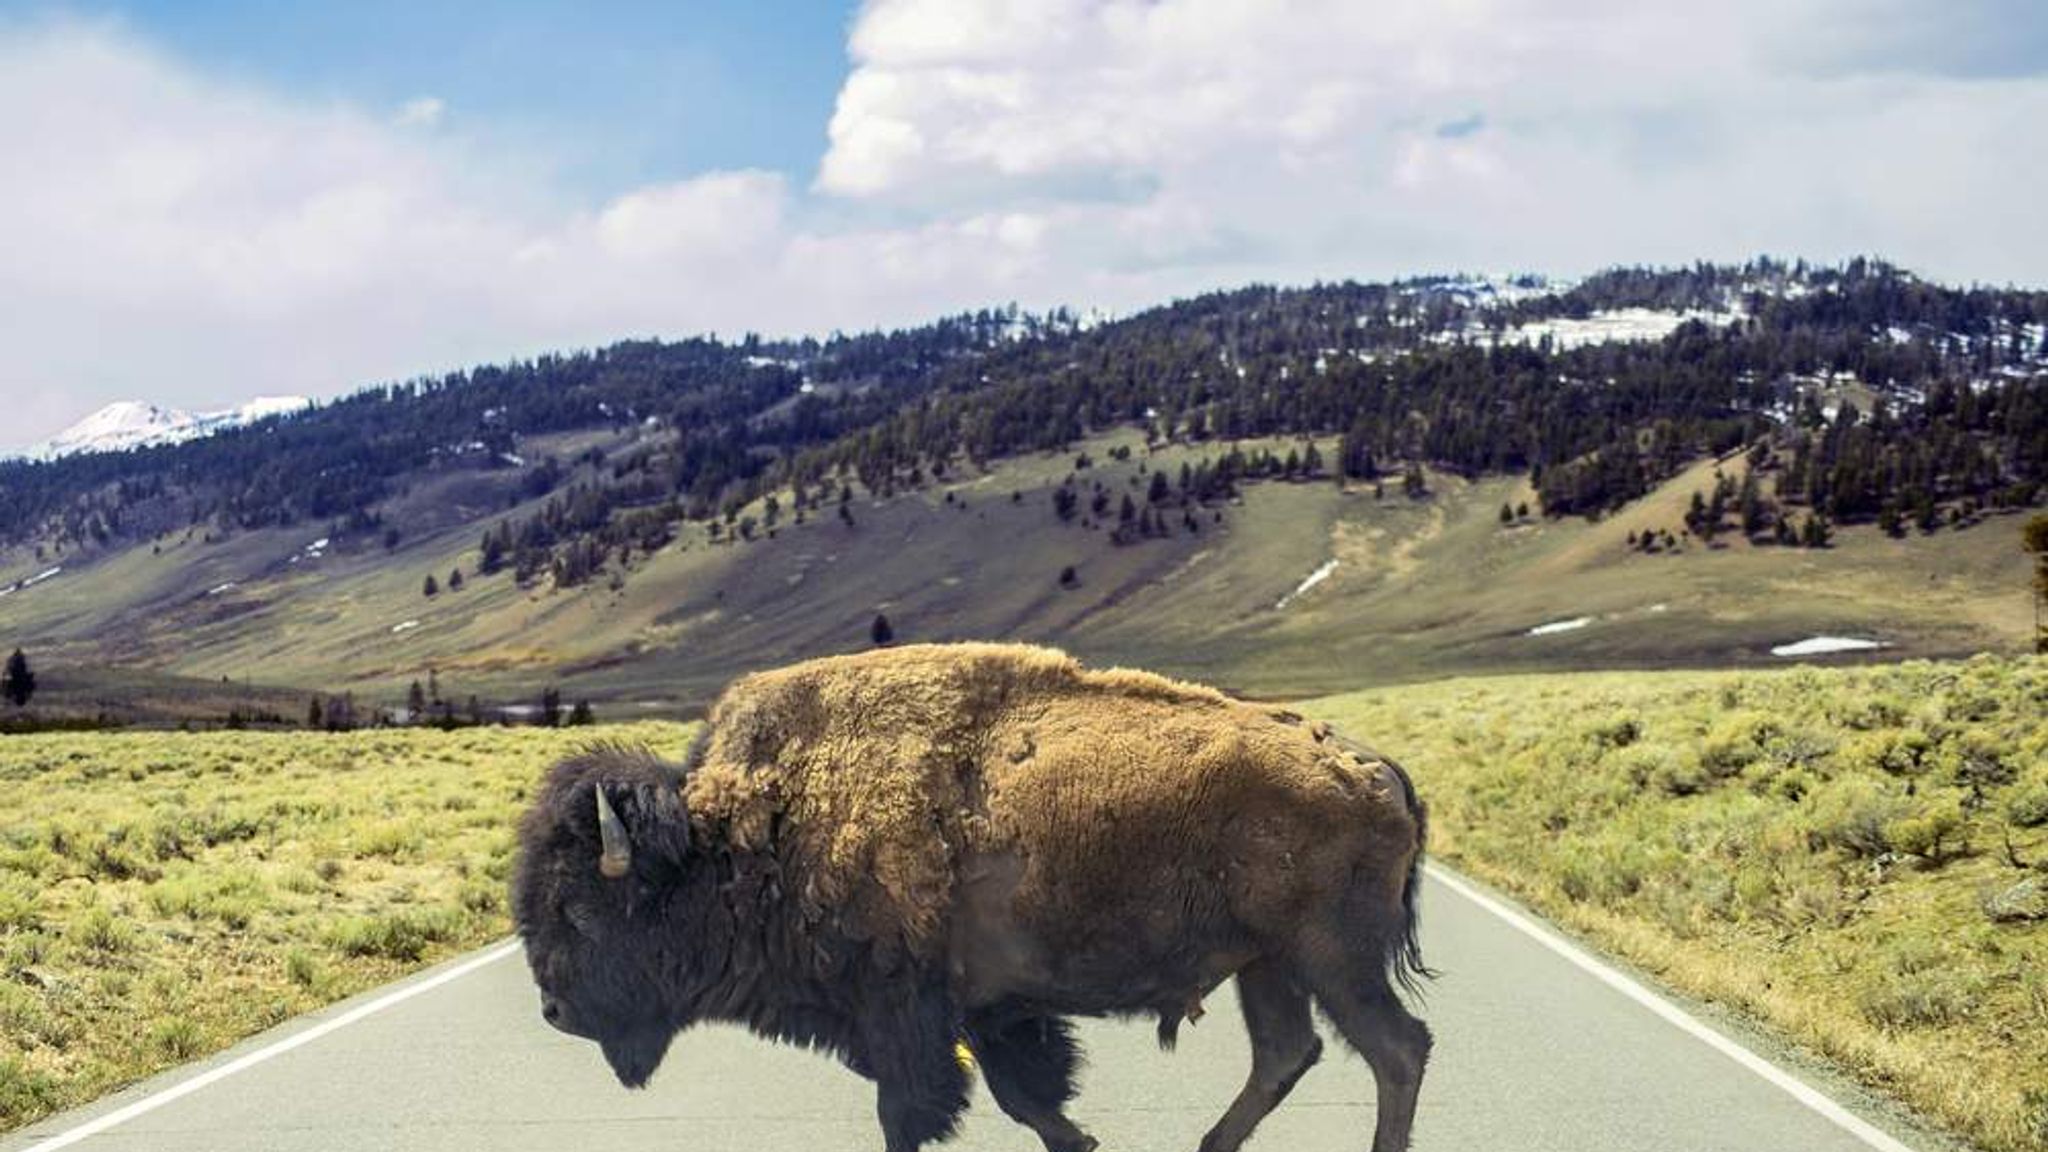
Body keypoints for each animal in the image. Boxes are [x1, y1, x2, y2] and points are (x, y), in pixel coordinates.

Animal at [512, 643, 1431, 1151]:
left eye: (579, 911)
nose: (554, 1011)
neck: (751, 829)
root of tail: (1372, 765)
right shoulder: (988, 1010)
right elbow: (1026, 1099)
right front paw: (1081, 1140)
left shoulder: (903, 1014)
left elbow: (911, 1114)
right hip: (1266, 964)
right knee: (1287, 1053)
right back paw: (1207, 1147)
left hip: (1331, 959)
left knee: (1396, 1049)